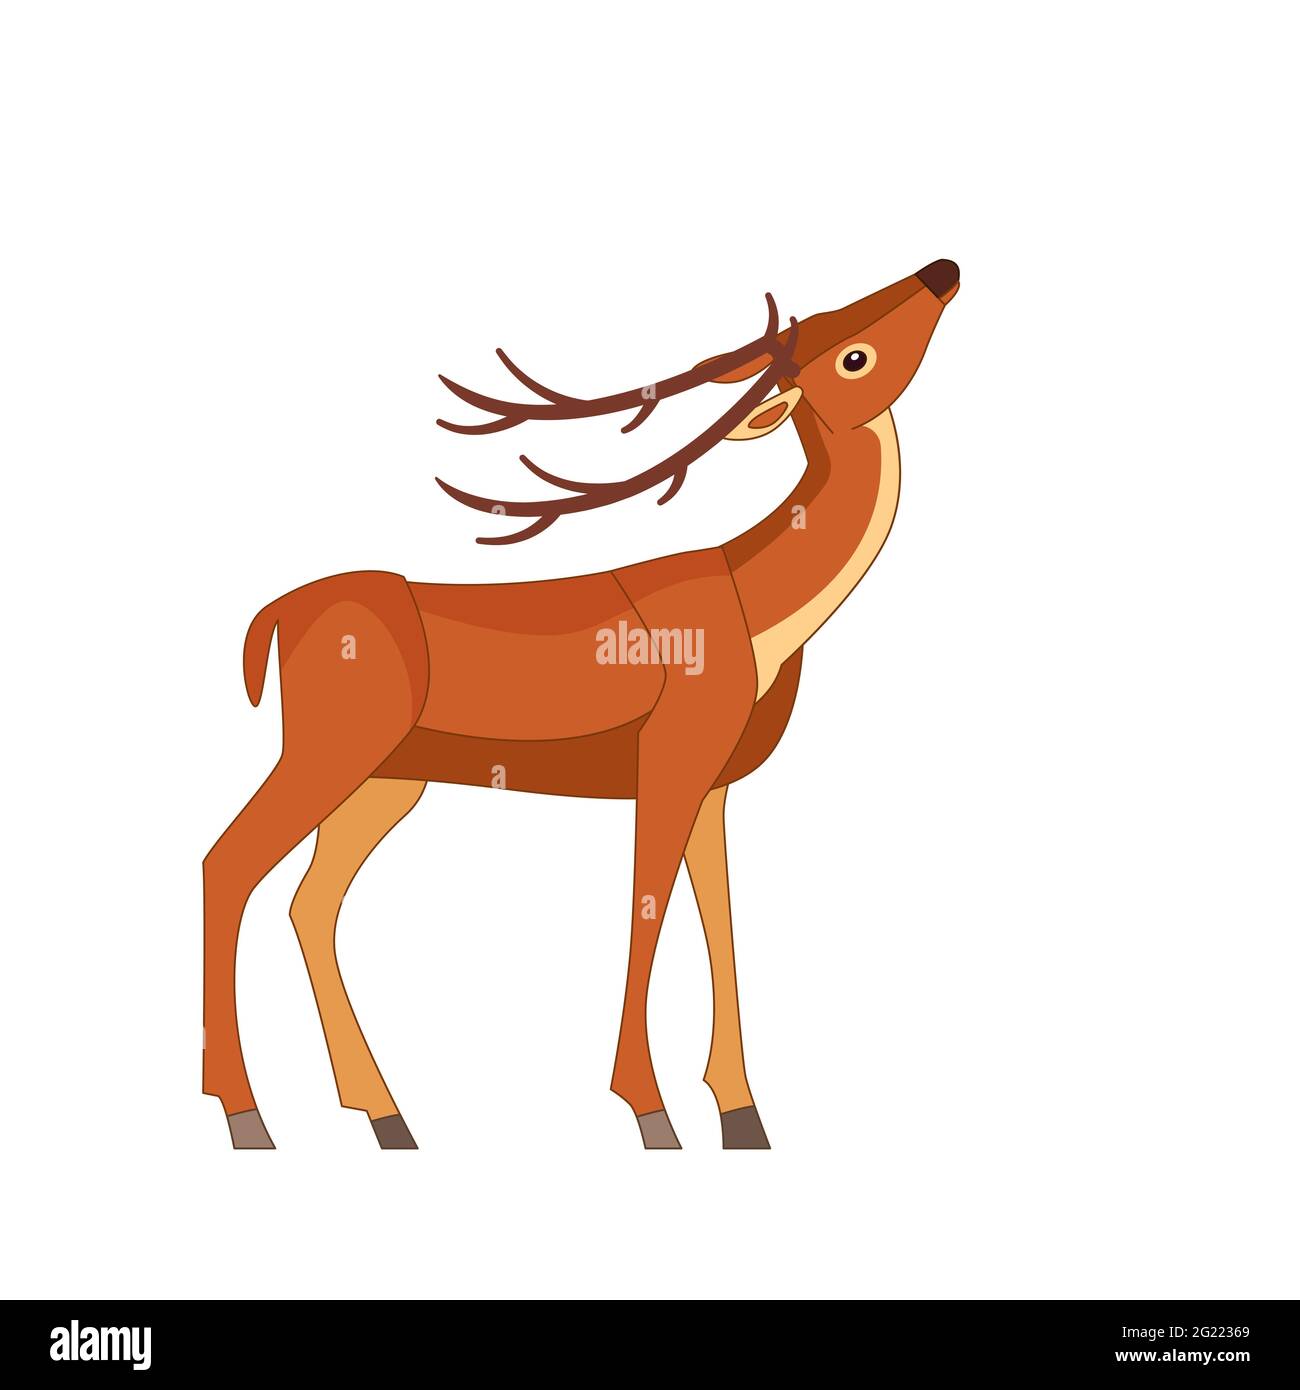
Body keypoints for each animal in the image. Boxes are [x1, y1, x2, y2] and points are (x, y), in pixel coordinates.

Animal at [204, 258, 960, 1150]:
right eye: (853, 357)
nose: (941, 272)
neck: (762, 618)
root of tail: (271, 620)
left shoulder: (717, 779)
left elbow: (721, 918)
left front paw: (743, 1115)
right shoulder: (669, 752)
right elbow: (647, 908)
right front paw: (651, 1110)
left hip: (389, 778)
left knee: (310, 902)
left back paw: (386, 1115)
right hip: (332, 746)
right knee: (228, 865)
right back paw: (246, 1113)